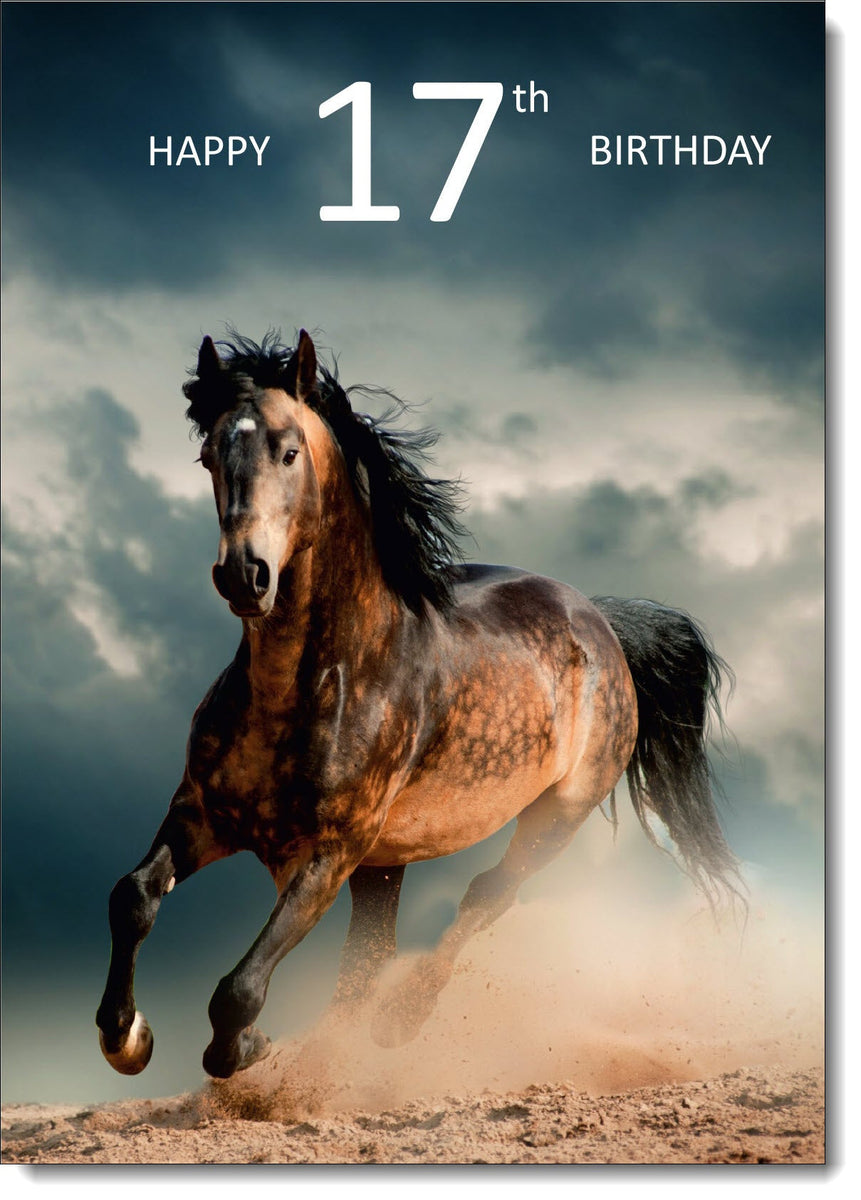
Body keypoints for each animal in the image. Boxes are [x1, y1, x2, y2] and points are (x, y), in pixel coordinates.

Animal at [96, 329, 741, 1080]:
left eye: (288, 451)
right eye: (208, 456)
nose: (243, 575)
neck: (310, 685)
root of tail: (601, 622)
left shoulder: (328, 854)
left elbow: (239, 989)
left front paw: (247, 1048)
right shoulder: (202, 814)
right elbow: (132, 897)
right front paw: (126, 1038)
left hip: (556, 815)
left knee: (484, 896)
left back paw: (398, 1023)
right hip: (386, 863)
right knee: (368, 957)